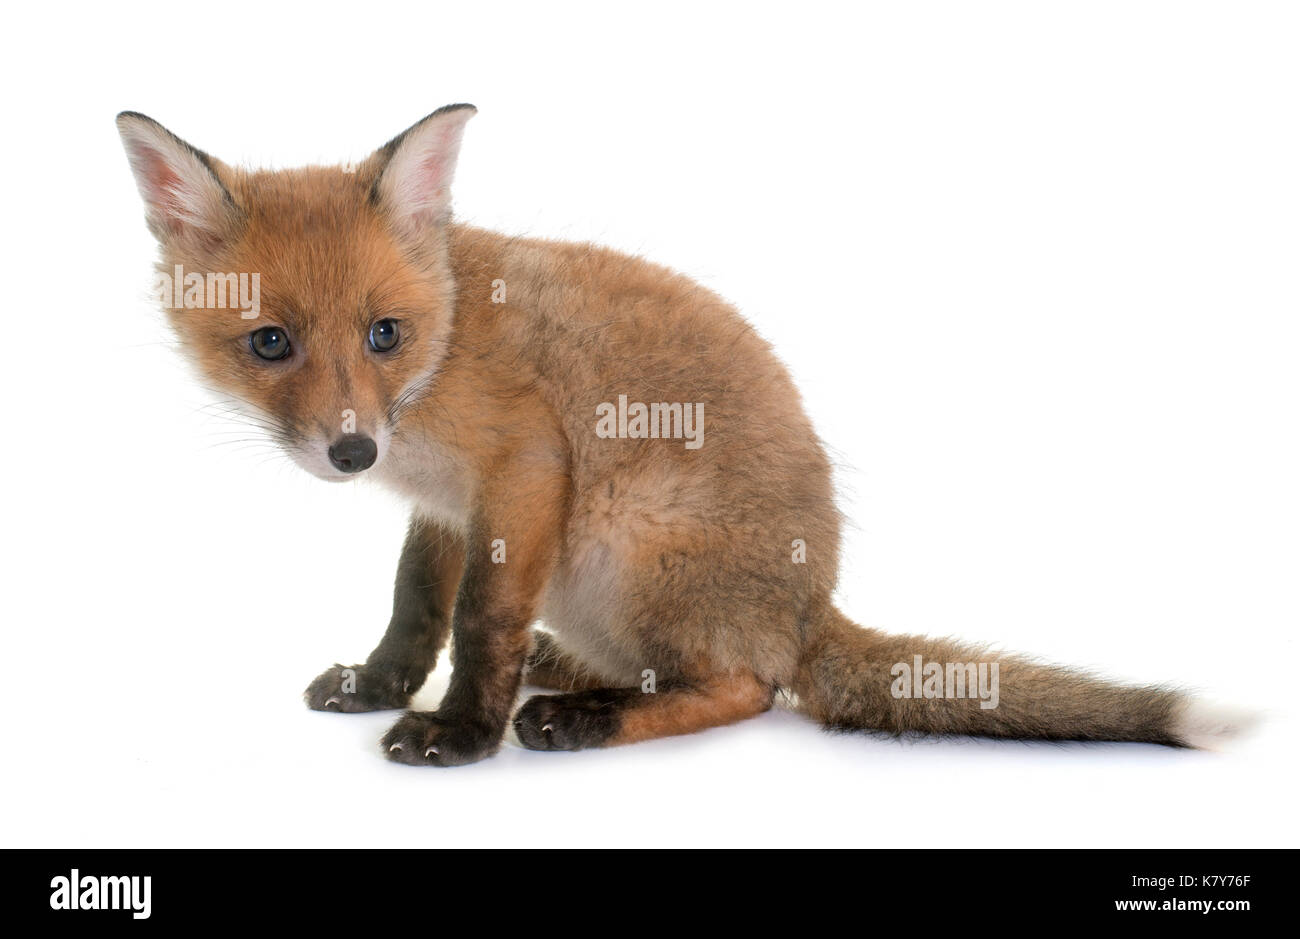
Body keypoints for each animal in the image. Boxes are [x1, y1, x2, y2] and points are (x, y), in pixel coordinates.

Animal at [116, 104, 1250, 765]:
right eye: (269, 343)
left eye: (383, 333)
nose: (352, 453)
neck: (447, 348)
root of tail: (811, 605)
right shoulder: (446, 505)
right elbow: (416, 605)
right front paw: (384, 681)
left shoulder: (523, 466)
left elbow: (481, 619)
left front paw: (463, 730)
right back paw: (575, 673)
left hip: (627, 544)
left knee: (747, 689)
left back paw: (586, 716)